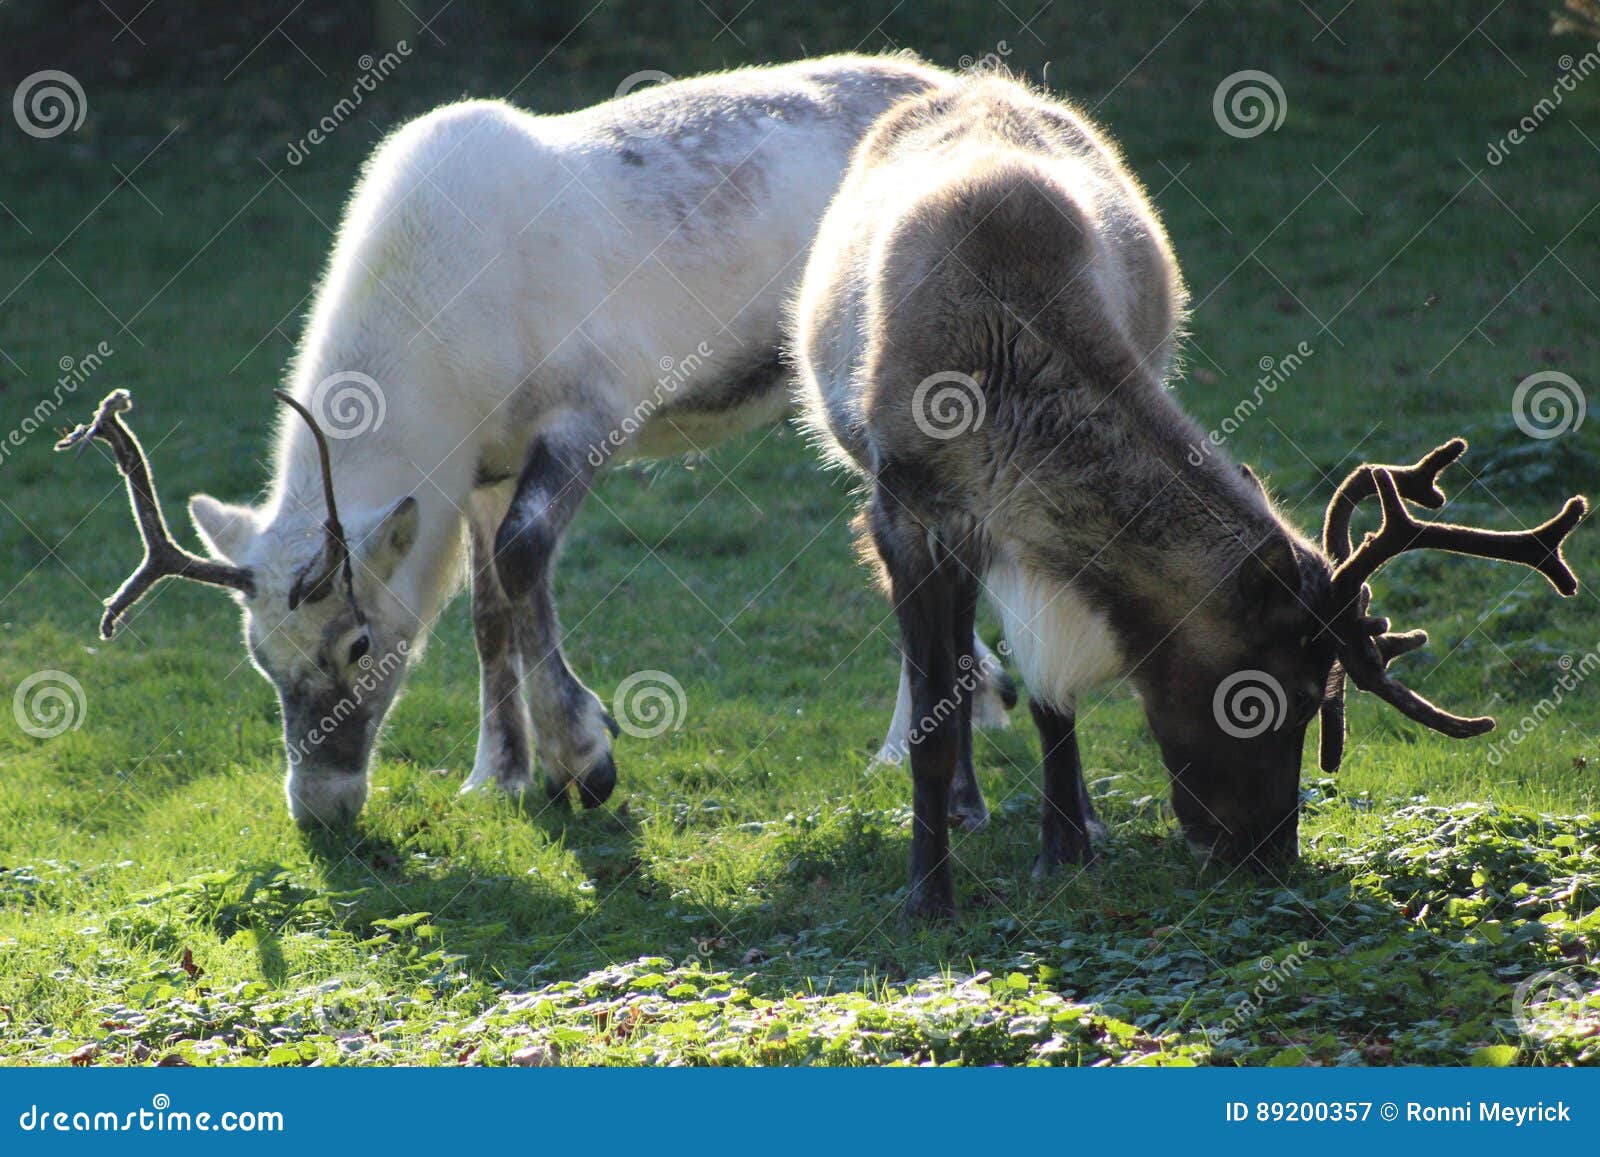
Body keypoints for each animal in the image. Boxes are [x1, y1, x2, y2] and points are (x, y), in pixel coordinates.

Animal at [56, 55, 1029, 829]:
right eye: (261, 656)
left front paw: (585, 758)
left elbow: (527, 561)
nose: (318, 807)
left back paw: (910, 747)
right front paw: (498, 775)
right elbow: (490, 614)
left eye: (359, 644)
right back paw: (985, 698)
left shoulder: (586, 416)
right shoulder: (481, 473)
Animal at [792, 75, 1587, 919]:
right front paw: (928, 896)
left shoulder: (1027, 536)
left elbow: (1050, 688)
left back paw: (1073, 825)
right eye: (1280, 697)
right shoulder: (902, 507)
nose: (1272, 853)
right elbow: (932, 721)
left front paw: (1063, 848)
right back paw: (968, 807)